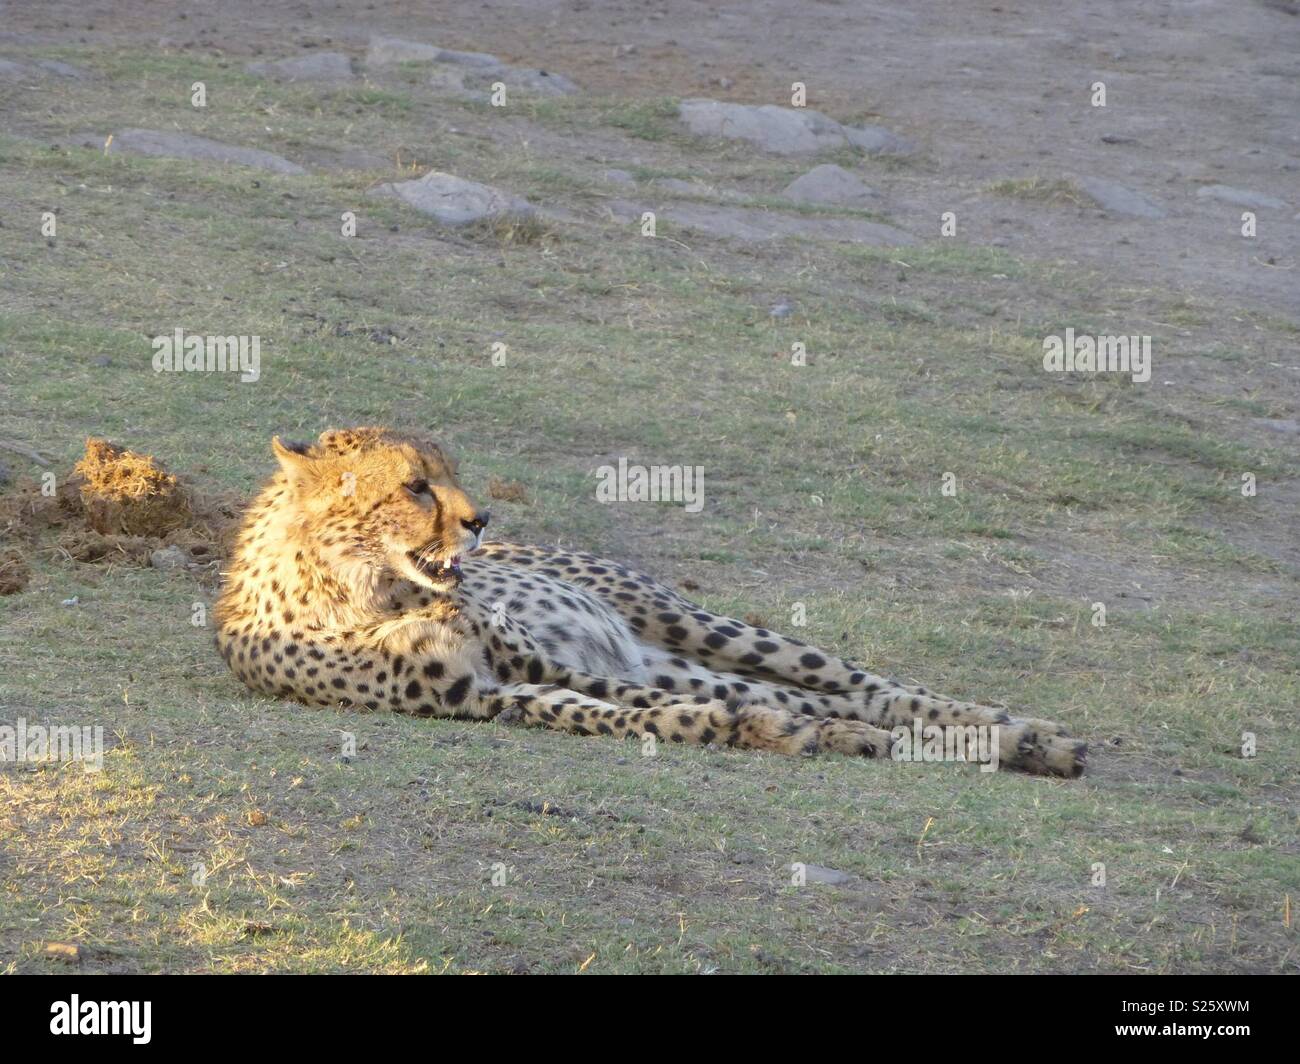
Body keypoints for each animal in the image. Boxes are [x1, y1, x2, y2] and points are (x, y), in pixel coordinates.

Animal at [215, 427, 1087, 777]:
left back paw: (1021, 732)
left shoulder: (527, 660)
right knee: (830, 702)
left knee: (870, 687)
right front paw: (763, 732)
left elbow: (630, 703)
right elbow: (625, 715)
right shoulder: (484, 694)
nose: (480, 519)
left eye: (450, 473)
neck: (366, 589)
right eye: (414, 486)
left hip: (701, 629)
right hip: (676, 658)